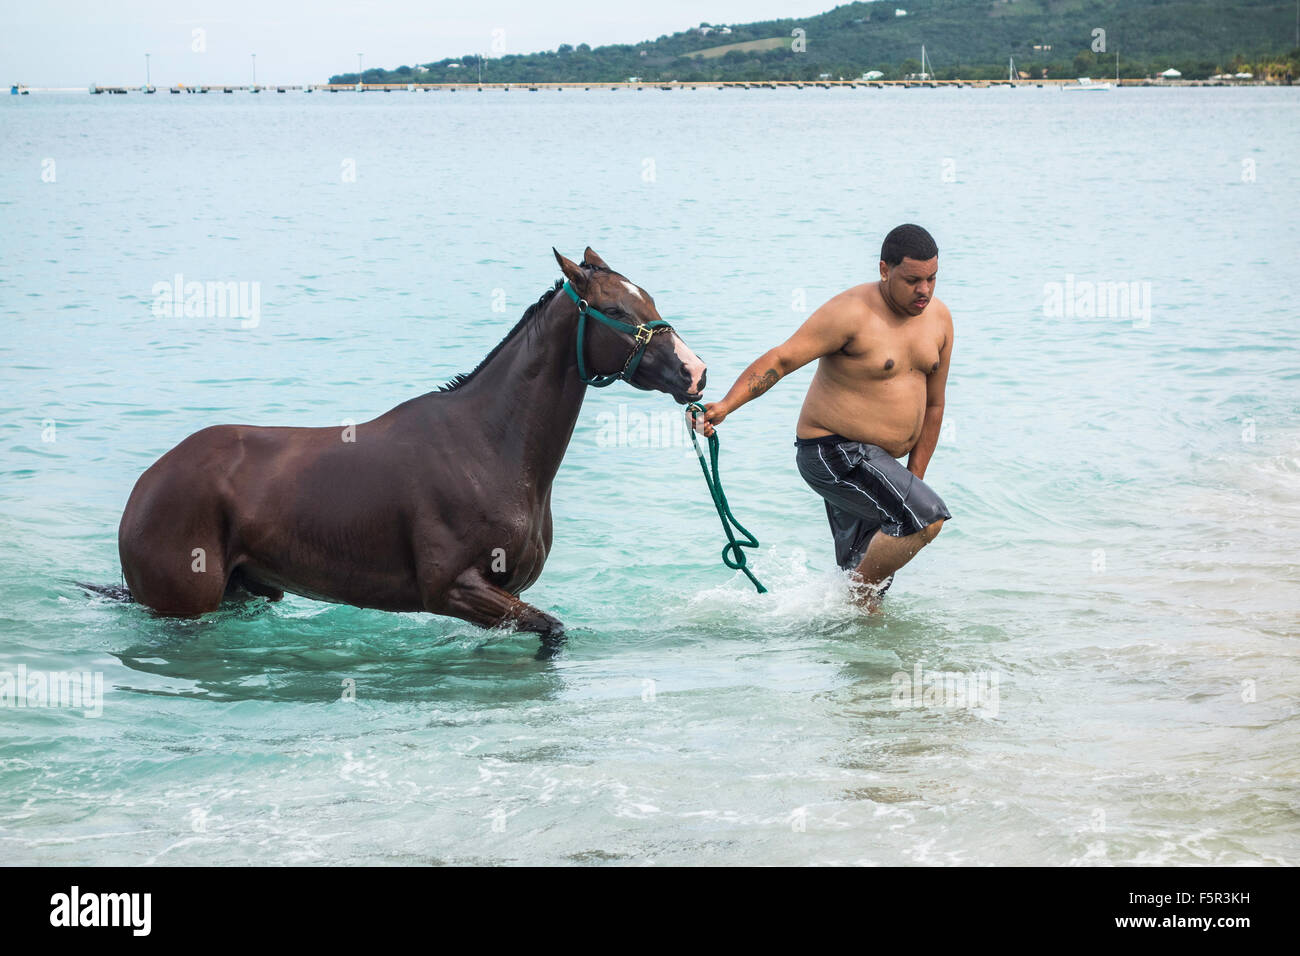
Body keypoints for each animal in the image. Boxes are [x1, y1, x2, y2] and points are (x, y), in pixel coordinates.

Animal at [107, 251, 707, 647]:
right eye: (617, 312)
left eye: (648, 300)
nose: (695, 373)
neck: (488, 446)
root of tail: (145, 485)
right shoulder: (453, 590)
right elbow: (552, 631)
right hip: (184, 606)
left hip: (245, 593)